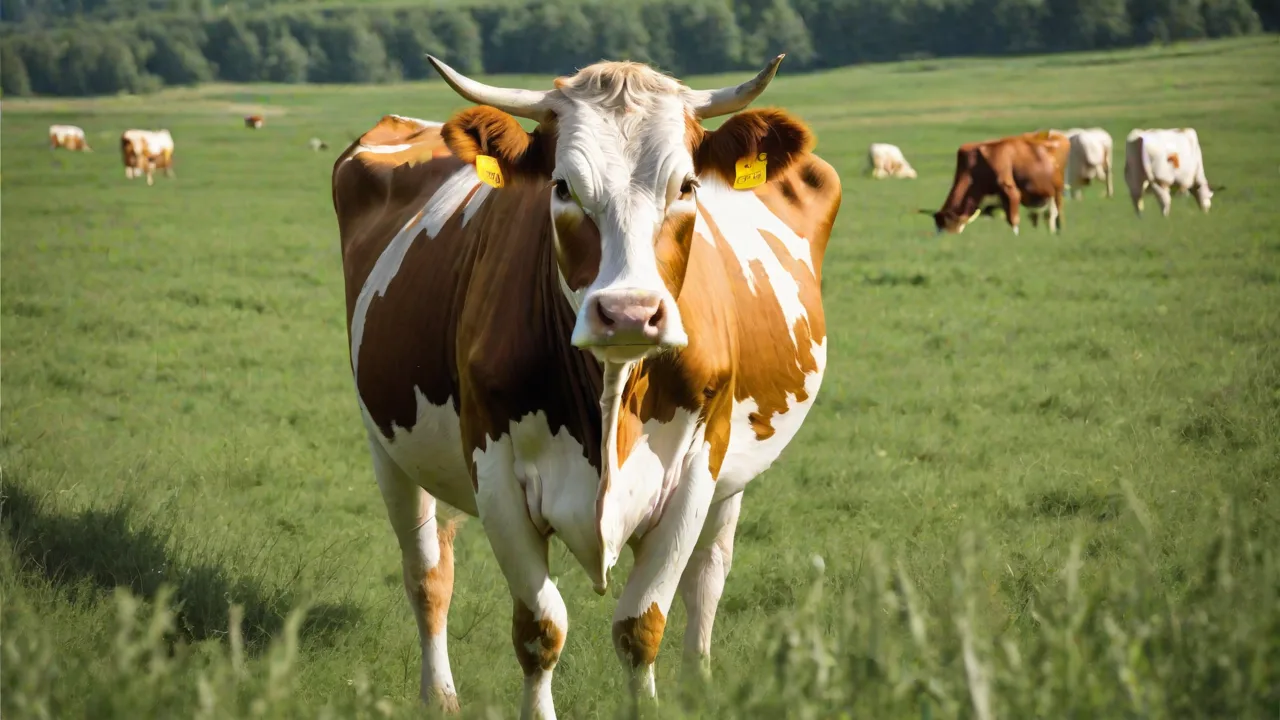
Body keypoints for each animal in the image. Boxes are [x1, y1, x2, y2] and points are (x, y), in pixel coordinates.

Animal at [331, 54, 841, 718]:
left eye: (686, 187)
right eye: (562, 187)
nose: (628, 313)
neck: (611, 394)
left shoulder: (699, 463)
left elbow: (641, 625)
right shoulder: (495, 471)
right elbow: (540, 629)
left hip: (734, 466)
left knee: (708, 575)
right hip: (387, 445)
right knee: (426, 574)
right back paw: (438, 693)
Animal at [922, 130, 1068, 236]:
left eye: (944, 229)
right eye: (937, 228)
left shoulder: (1011, 192)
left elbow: (1013, 221)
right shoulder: (990, 205)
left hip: (1058, 191)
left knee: (1058, 214)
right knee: (1047, 216)